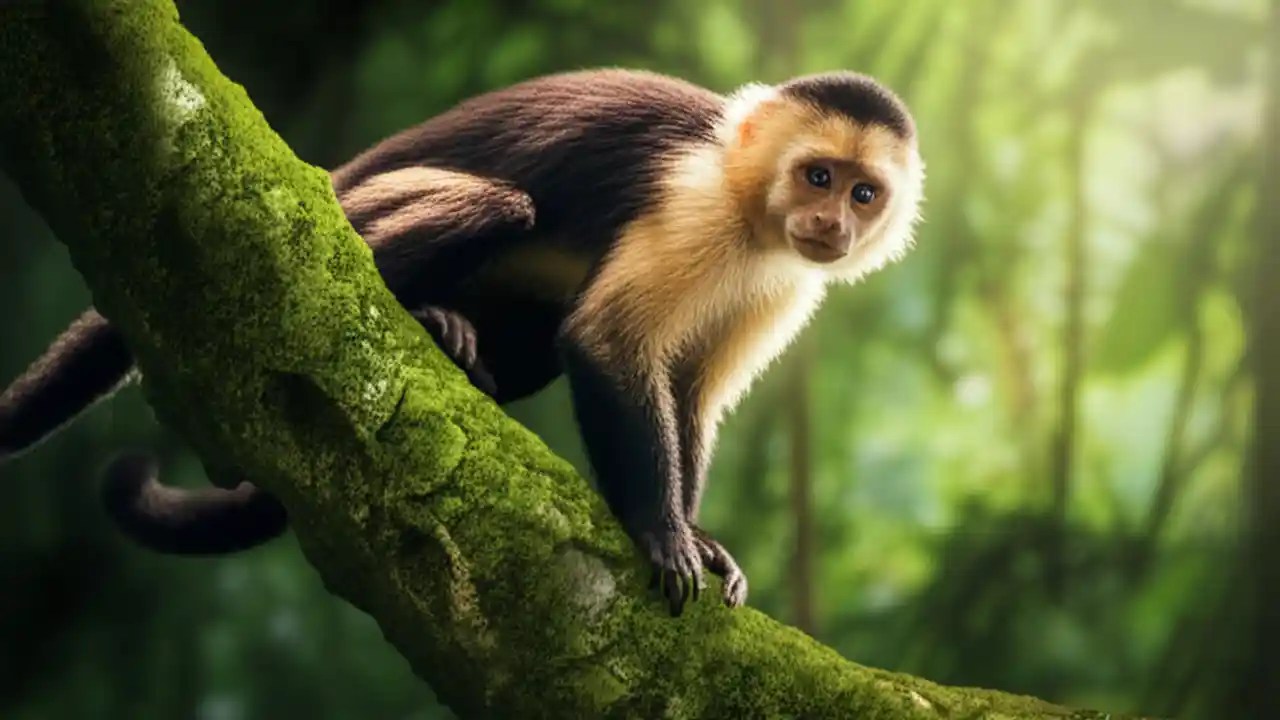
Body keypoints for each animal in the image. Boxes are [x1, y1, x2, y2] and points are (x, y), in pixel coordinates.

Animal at [0, 68, 924, 616]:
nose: (831, 224)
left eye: (863, 193)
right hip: (341, 217)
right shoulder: (691, 203)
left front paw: (694, 532)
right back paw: (420, 316)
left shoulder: (787, 281)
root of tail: (330, 176)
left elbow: (692, 393)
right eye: (816, 175)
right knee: (495, 209)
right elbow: (605, 346)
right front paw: (661, 531)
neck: (746, 205)